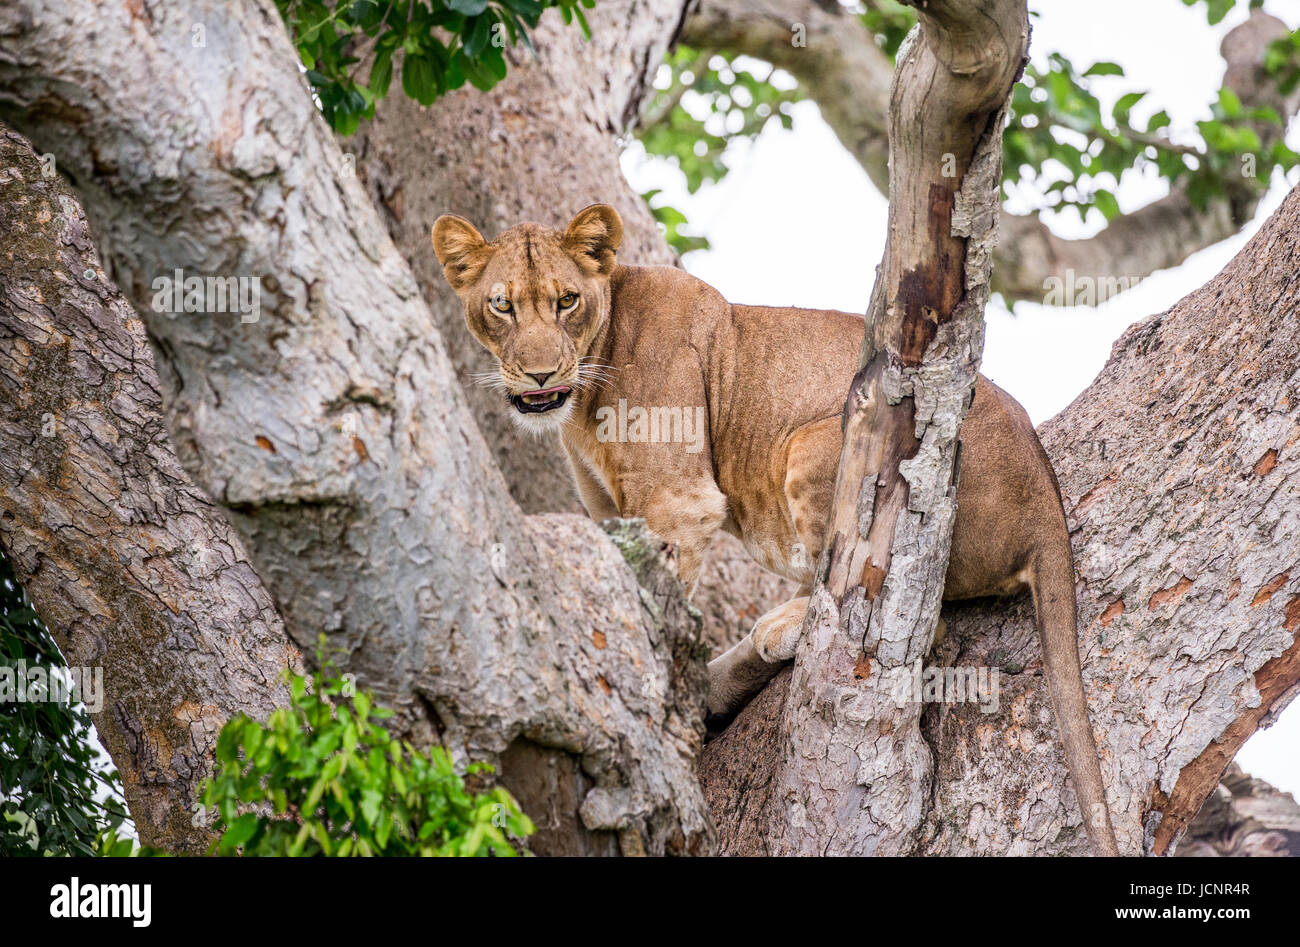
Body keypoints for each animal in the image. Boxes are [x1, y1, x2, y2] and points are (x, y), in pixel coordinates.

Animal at [433, 203, 1120, 856]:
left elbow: (657, 603)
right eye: (502, 305)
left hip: (822, 442)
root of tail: (1042, 488)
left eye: (566, 301)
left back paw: (782, 632)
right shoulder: (613, 513)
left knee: (912, 622)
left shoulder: (681, 501)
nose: (541, 376)